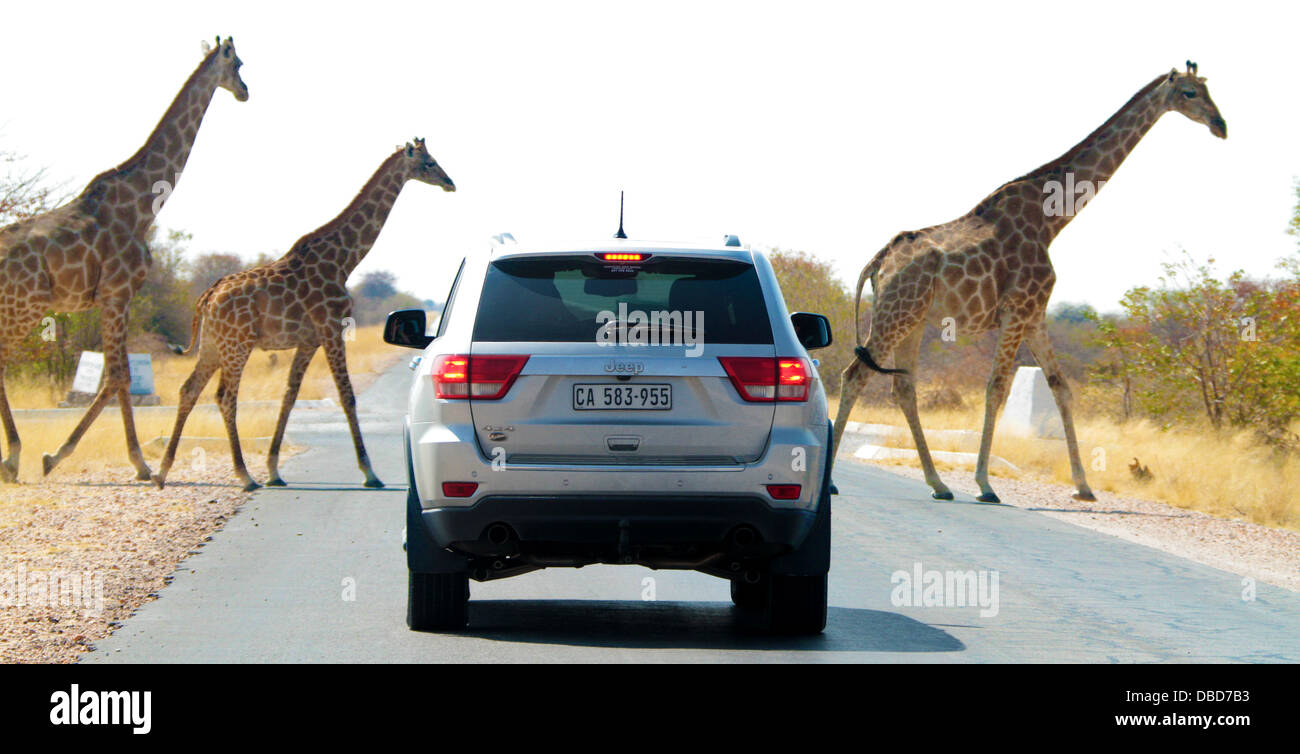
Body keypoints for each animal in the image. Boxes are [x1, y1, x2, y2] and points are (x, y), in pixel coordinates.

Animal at [0, 37, 248, 484]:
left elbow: (117, 376)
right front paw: (137, 462)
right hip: (25, 308)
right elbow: (120, 375)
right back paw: (10, 459)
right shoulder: (118, 294)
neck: (145, 205)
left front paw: (66, 455)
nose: (245, 91)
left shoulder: (112, 298)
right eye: (238, 63)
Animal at [152, 139, 455, 492]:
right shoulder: (332, 330)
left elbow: (289, 395)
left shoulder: (308, 340)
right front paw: (370, 473)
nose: (450, 183)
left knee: (189, 390)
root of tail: (206, 298)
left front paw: (274, 470)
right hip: (236, 345)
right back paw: (244, 475)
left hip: (213, 345)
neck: (344, 260)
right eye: (429, 162)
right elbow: (347, 396)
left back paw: (162, 471)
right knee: (225, 396)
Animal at [832, 62, 1226, 503]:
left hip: (913, 319)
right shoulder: (1018, 310)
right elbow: (997, 388)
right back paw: (831, 481)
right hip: (896, 314)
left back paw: (938, 484)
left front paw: (1084, 486)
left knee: (903, 387)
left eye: (1209, 90)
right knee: (855, 375)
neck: (1052, 218)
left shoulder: (1035, 315)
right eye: (1190, 93)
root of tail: (878, 262)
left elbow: (1061, 388)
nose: (1221, 125)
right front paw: (985, 484)